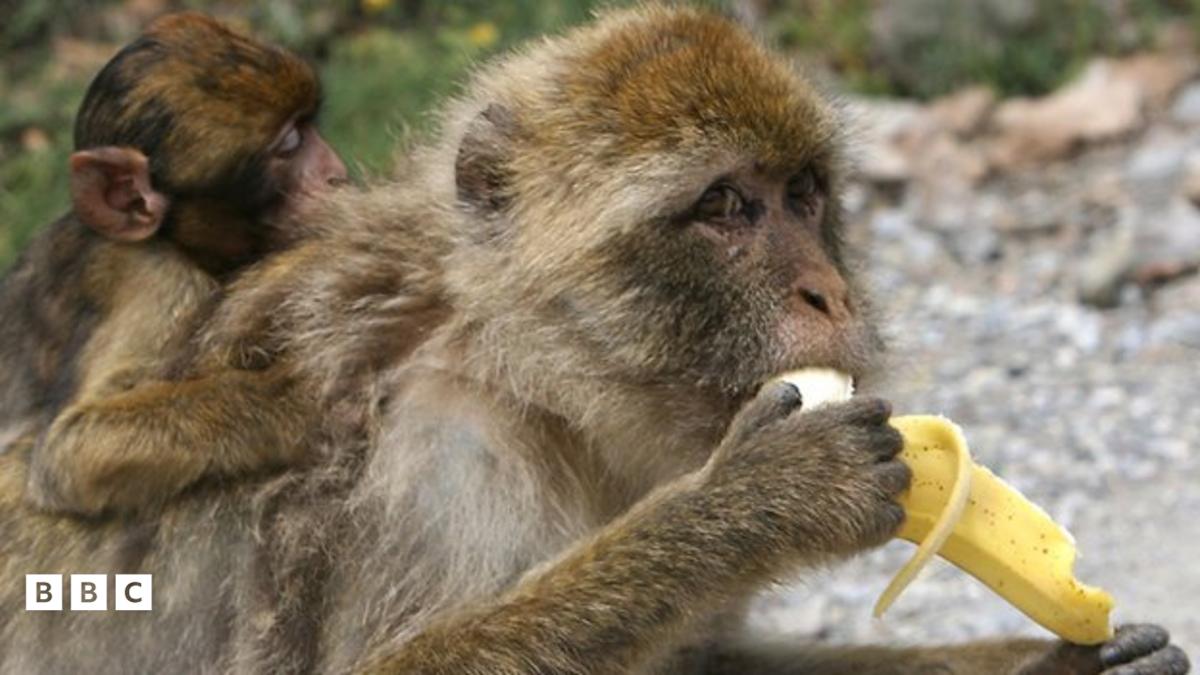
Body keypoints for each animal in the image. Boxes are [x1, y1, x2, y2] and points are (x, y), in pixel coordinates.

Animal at [0, 11, 347, 517]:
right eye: (290, 144)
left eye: (309, 125)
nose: (335, 174)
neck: (172, 237)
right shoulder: (152, 279)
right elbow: (71, 453)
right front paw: (299, 402)